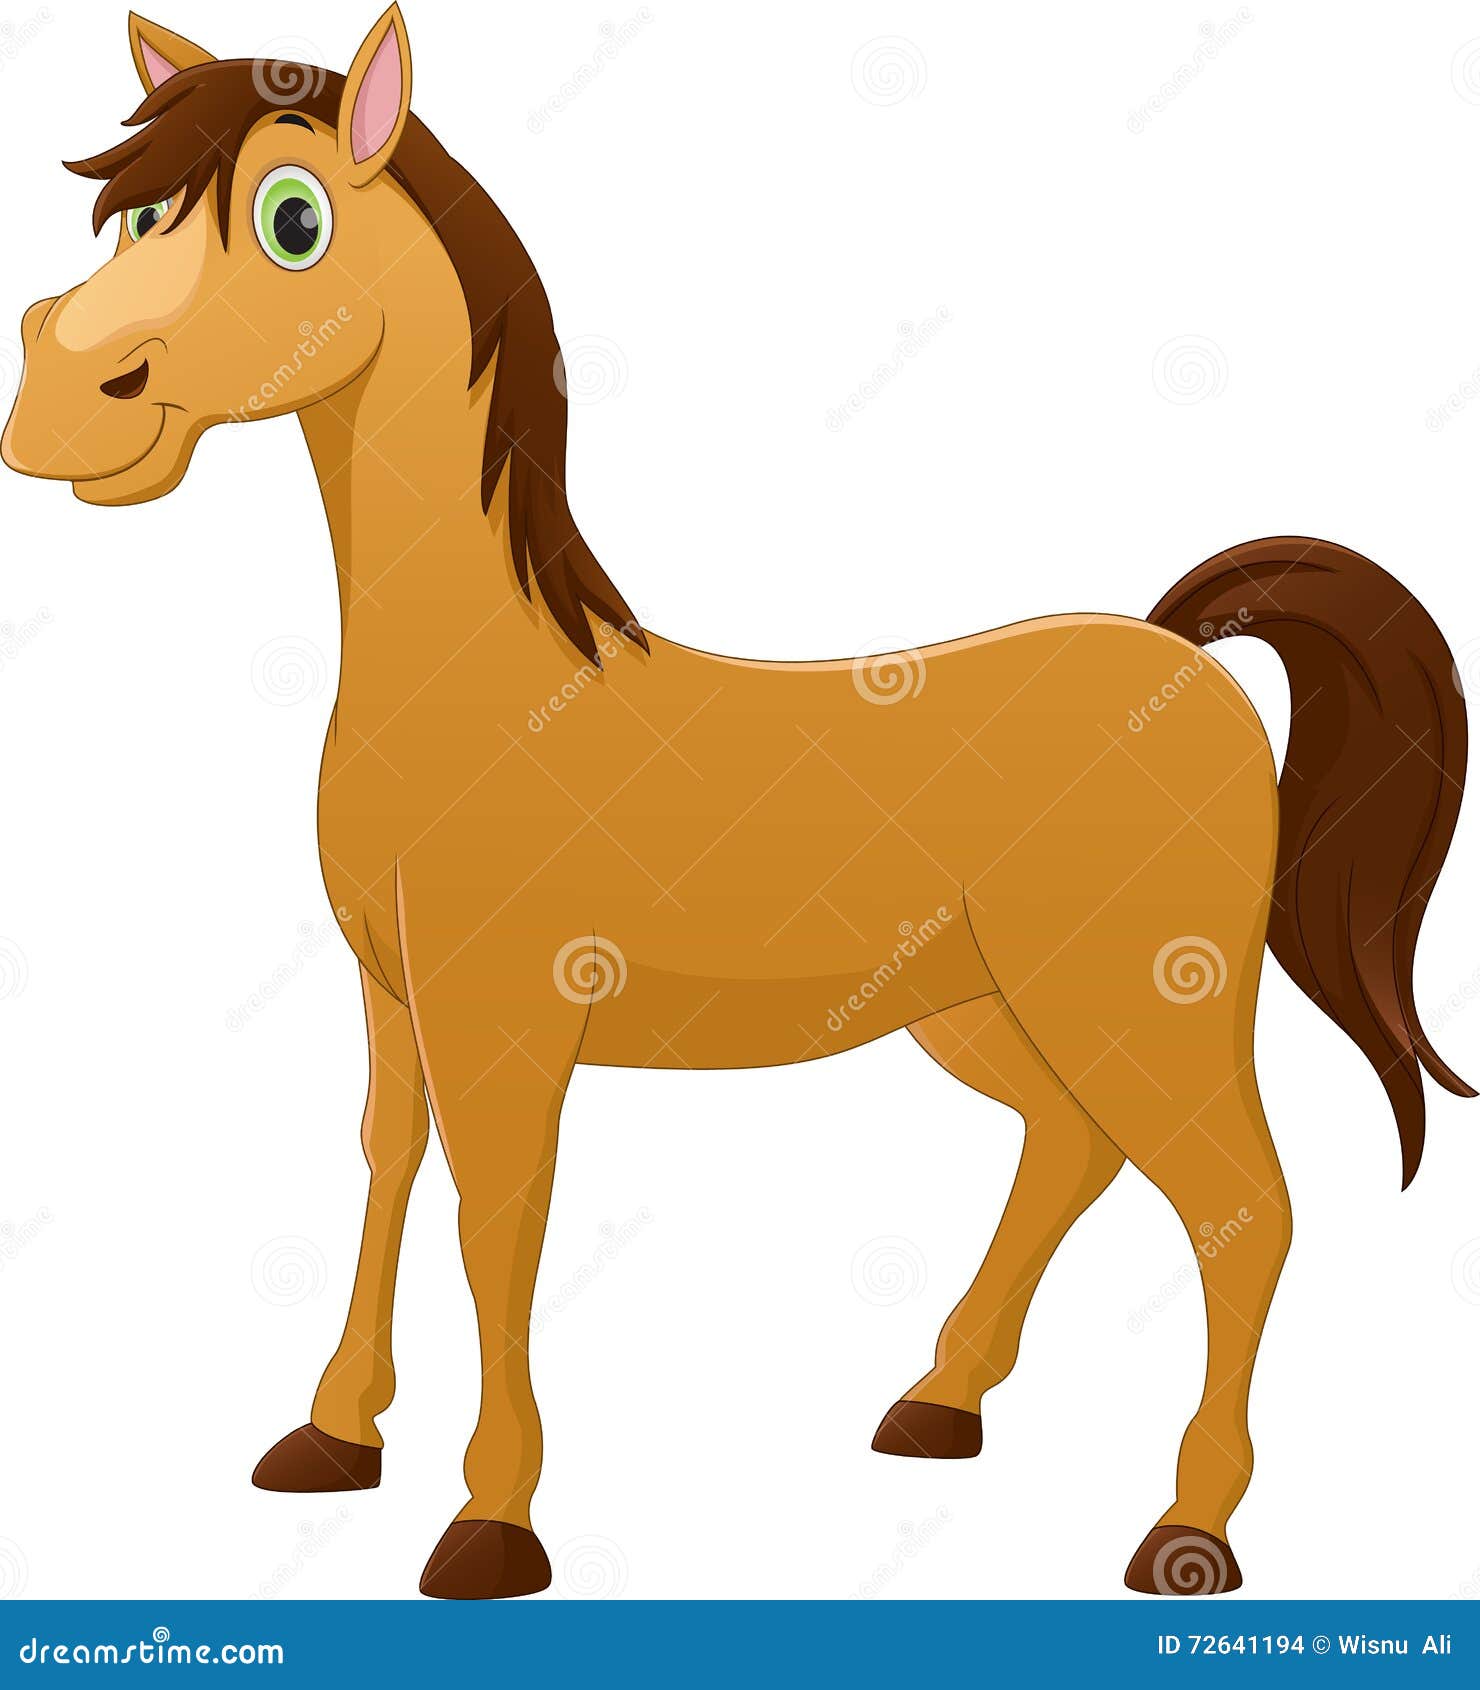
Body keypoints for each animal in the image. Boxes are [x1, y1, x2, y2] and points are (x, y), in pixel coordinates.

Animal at [3, 6, 1472, 1601]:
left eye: (293, 221)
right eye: (133, 215)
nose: (58, 407)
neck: (484, 690)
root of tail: (1182, 657)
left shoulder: (504, 1020)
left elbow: (494, 1213)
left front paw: (489, 1523)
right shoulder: (395, 998)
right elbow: (388, 1166)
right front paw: (331, 1436)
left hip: (1144, 1006)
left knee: (1241, 1209)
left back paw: (1183, 1526)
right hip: (981, 1011)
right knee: (1072, 1151)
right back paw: (939, 1402)